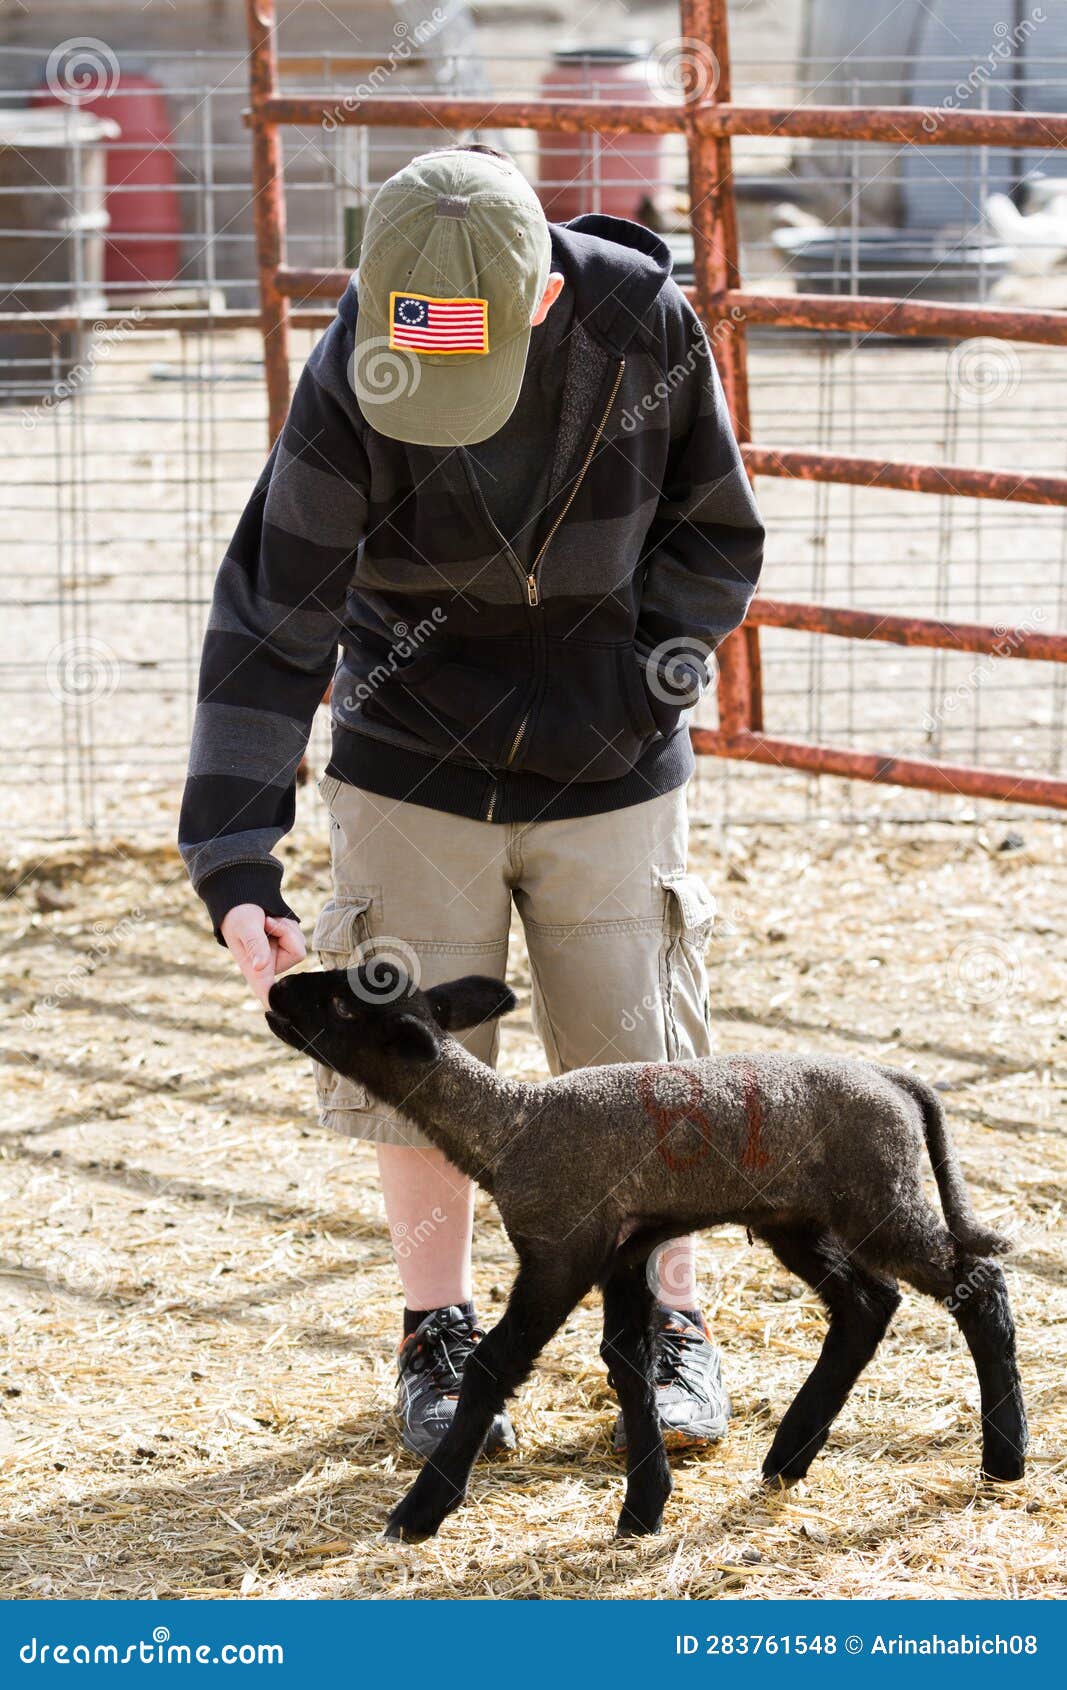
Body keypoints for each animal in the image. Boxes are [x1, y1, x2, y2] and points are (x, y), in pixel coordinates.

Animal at [266, 965, 1027, 1543]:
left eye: (342, 1001)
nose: (276, 989)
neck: (510, 1128)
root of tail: (897, 1081)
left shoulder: (561, 1252)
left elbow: (492, 1367)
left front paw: (419, 1513)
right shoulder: (623, 1256)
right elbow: (626, 1365)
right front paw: (643, 1507)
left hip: (878, 1200)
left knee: (976, 1282)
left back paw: (1005, 1457)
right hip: (797, 1217)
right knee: (868, 1304)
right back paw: (788, 1456)